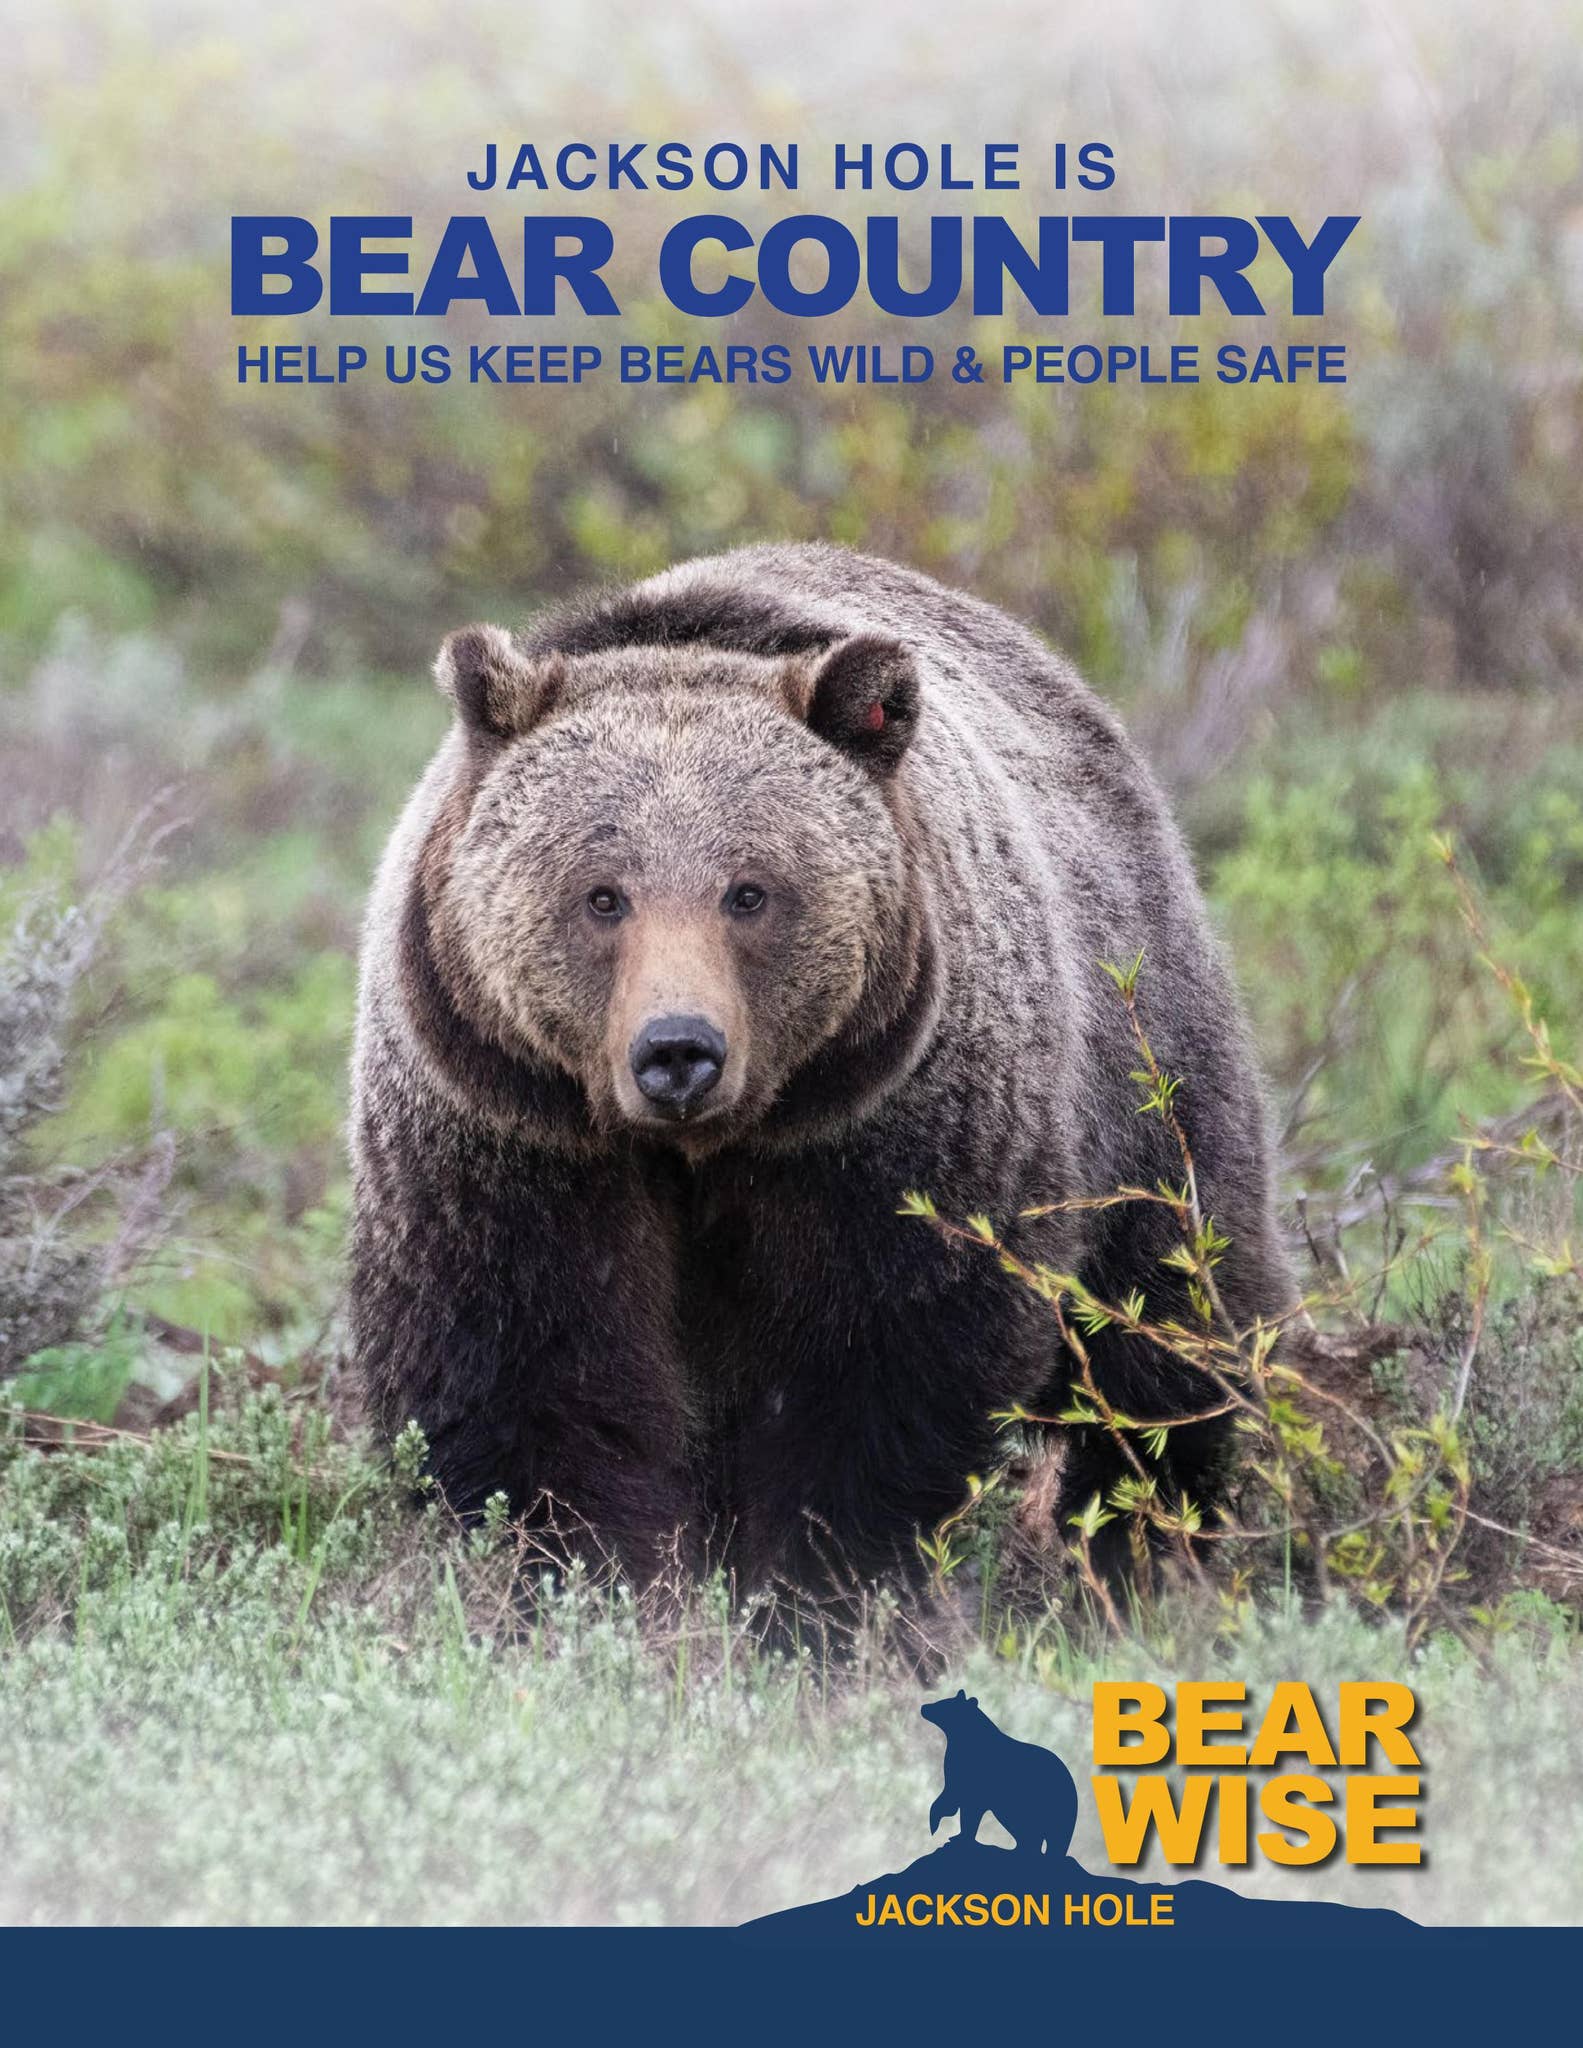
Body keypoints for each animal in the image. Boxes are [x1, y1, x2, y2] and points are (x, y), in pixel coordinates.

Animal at [350, 542, 1293, 1595]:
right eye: (601, 895)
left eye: (749, 891)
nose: (677, 1053)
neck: (700, 1153)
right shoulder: (510, 1133)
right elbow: (532, 1380)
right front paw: (590, 1578)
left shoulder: (885, 1135)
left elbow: (874, 1377)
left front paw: (825, 1588)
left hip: (1143, 1064)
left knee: (1167, 1314)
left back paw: (1144, 1549)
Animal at [921, 1690, 1079, 1856]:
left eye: (943, 1703)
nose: (924, 1707)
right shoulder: (957, 1775)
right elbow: (951, 1796)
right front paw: (939, 1824)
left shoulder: (977, 1780)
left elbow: (970, 1810)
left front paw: (958, 1837)